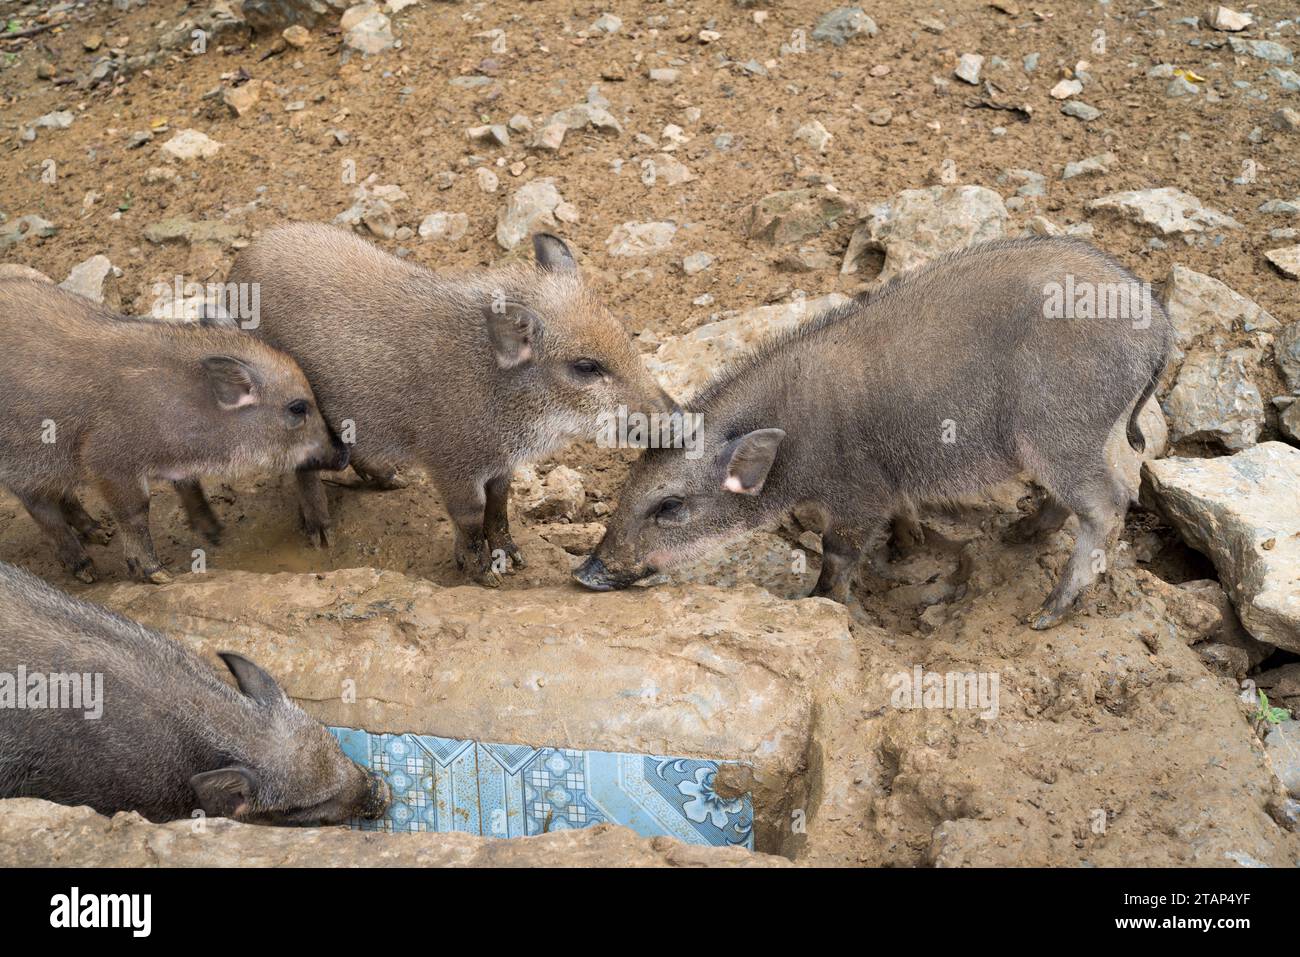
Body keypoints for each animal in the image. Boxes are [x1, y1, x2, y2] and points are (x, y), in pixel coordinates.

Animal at [0, 279, 348, 585]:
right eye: (298, 408)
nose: (343, 454)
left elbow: (189, 485)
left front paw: (216, 534)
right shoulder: (108, 463)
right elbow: (136, 513)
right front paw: (157, 575)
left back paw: (100, 533)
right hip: (26, 463)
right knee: (42, 509)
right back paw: (86, 569)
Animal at [222, 223, 676, 585]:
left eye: (623, 332)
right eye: (586, 366)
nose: (680, 421)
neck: (500, 388)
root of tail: (236, 270)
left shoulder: (500, 464)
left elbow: (499, 506)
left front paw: (514, 560)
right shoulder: (450, 463)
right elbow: (470, 515)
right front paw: (484, 577)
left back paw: (391, 482)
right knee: (303, 465)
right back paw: (321, 535)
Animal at [574, 238, 1173, 630]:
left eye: (670, 506)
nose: (584, 572)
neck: (793, 436)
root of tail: (1160, 324)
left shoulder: (855, 495)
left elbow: (837, 553)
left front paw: (817, 604)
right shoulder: (889, 486)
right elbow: (898, 521)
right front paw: (910, 547)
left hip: (1059, 432)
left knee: (1109, 503)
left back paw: (1046, 614)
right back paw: (1016, 536)